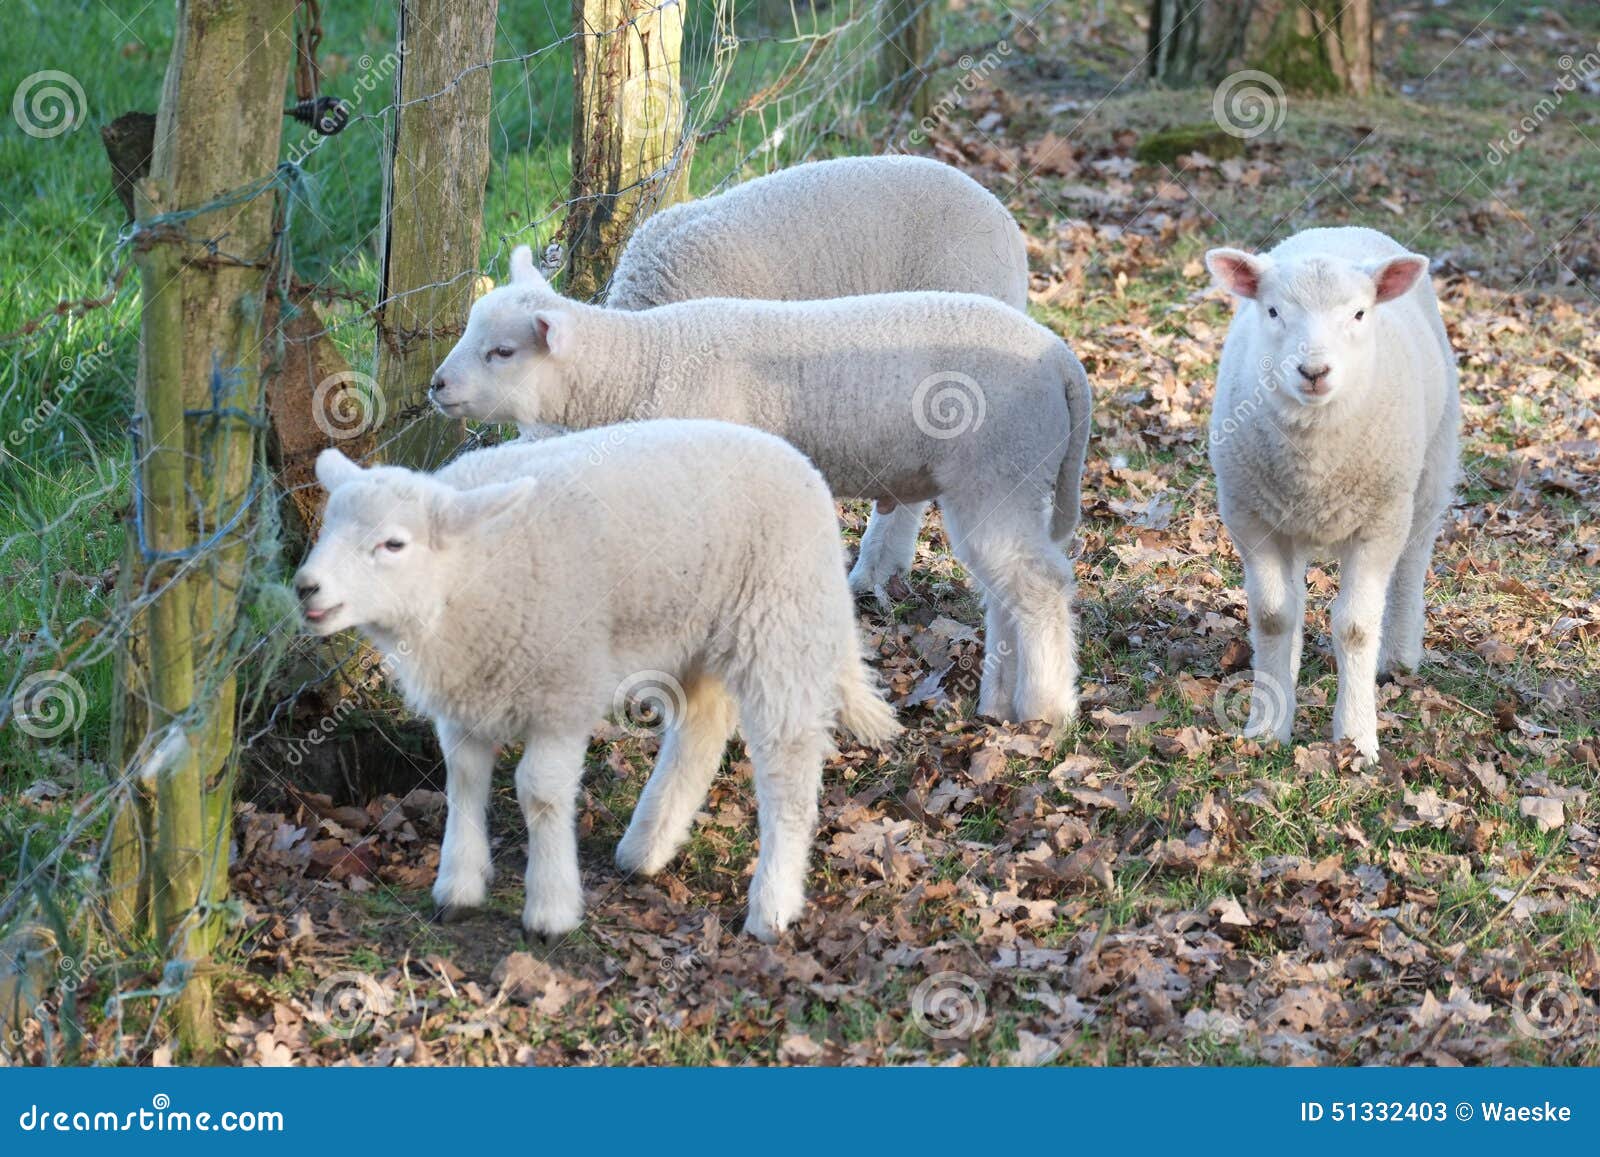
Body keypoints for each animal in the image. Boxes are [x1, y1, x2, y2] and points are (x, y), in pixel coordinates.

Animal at [292, 420, 900, 942]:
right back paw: (646, 848)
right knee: (702, 728)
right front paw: (458, 887)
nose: (305, 587)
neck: (470, 574)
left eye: (393, 544)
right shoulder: (467, 698)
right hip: (696, 630)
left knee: (787, 767)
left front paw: (551, 908)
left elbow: (539, 791)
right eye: (328, 527)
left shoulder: (563, 686)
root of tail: (803, 468)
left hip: (780, 622)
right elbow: (464, 779)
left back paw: (772, 904)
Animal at [430, 253, 1094, 727]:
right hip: (1003, 477)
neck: (643, 365)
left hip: (1001, 466)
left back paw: (1046, 709)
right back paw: (1000, 702)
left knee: (1038, 584)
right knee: (1007, 587)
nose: (437, 385)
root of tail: (1061, 359)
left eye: (502, 351)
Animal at [1205, 226, 1460, 759]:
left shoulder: (1379, 522)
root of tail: (1339, 230)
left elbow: (1356, 627)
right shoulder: (1251, 517)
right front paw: (1268, 724)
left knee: (1413, 561)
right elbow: (1274, 616)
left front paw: (1357, 738)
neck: (1316, 458)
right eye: (1273, 311)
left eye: (1359, 314)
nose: (1313, 371)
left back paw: (1400, 655)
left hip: (1431, 470)